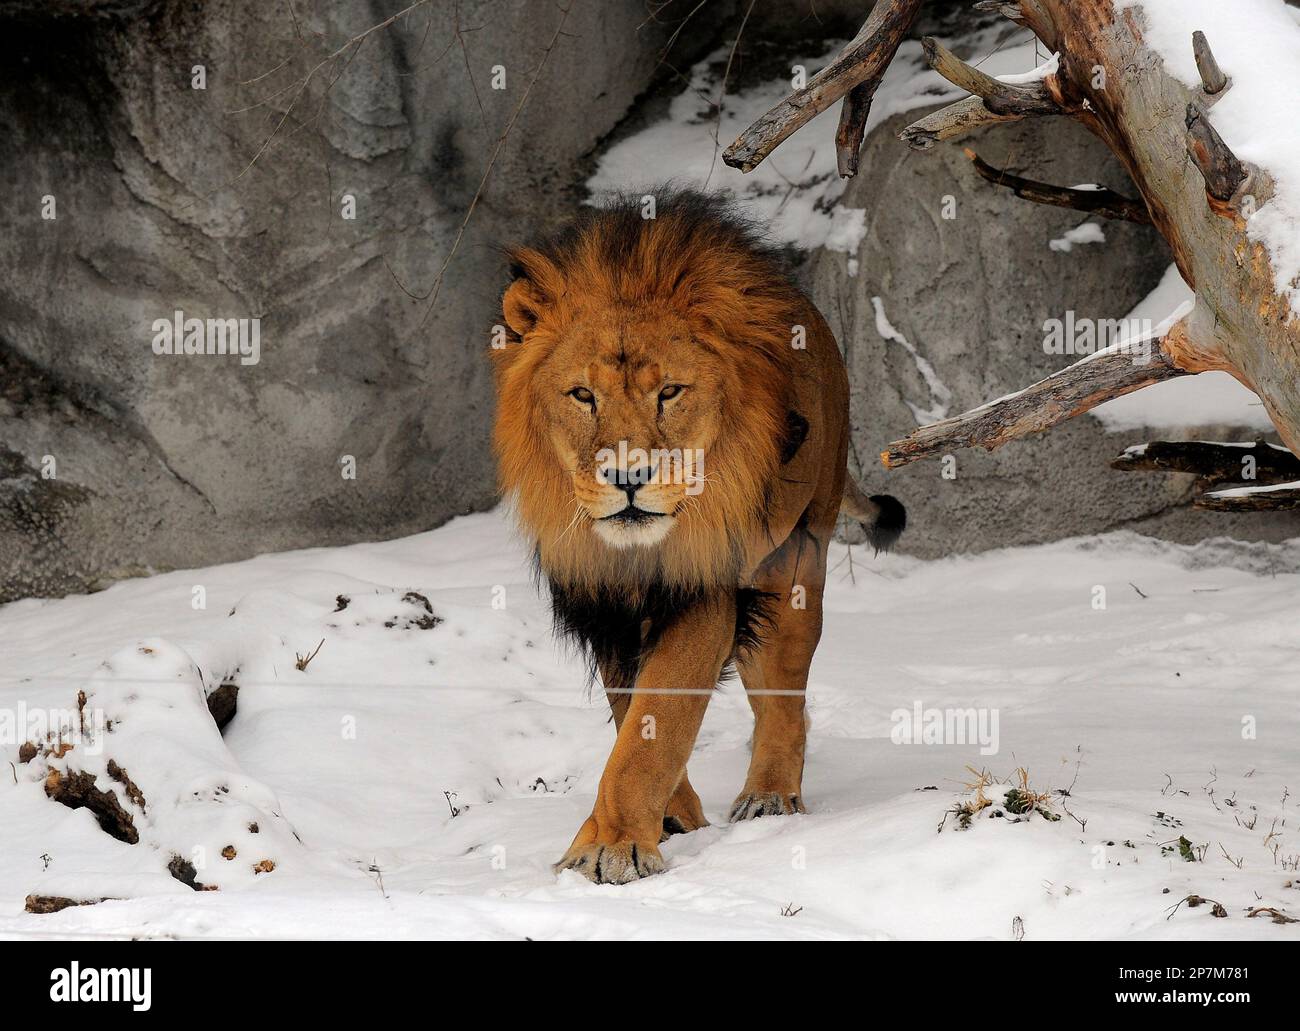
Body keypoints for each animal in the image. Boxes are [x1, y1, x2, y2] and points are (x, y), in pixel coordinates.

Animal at [492, 190, 904, 884]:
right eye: (582, 395)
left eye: (669, 392)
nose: (628, 476)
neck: (640, 553)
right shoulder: (607, 607)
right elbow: (633, 715)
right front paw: (670, 818)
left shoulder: (704, 592)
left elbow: (657, 721)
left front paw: (612, 846)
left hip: (795, 561)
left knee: (784, 697)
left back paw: (771, 796)